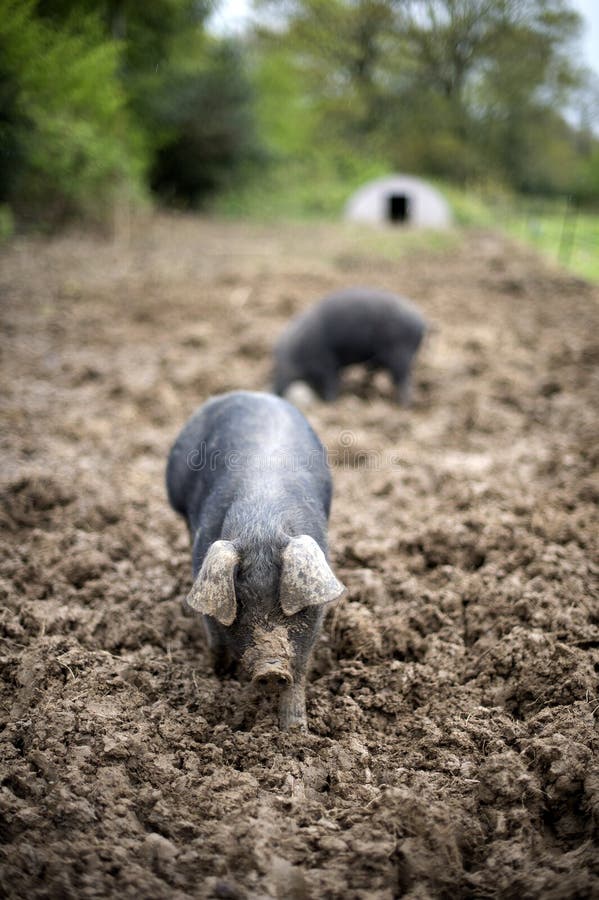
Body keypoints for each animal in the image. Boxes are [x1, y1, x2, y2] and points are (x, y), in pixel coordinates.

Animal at [166, 390, 345, 731]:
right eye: (242, 604)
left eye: (293, 607)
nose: (271, 670)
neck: (261, 524)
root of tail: (252, 393)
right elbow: (214, 635)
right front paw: (216, 678)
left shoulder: (313, 624)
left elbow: (299, 673)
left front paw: (295, 733)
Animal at [273, 287, 427, 405]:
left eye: (275, 371)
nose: (274, 390)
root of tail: (421, 322)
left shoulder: (326, 364)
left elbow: (331, 383)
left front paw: (330, 403)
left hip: (401, 354)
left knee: (403, 381)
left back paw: (402, 405)